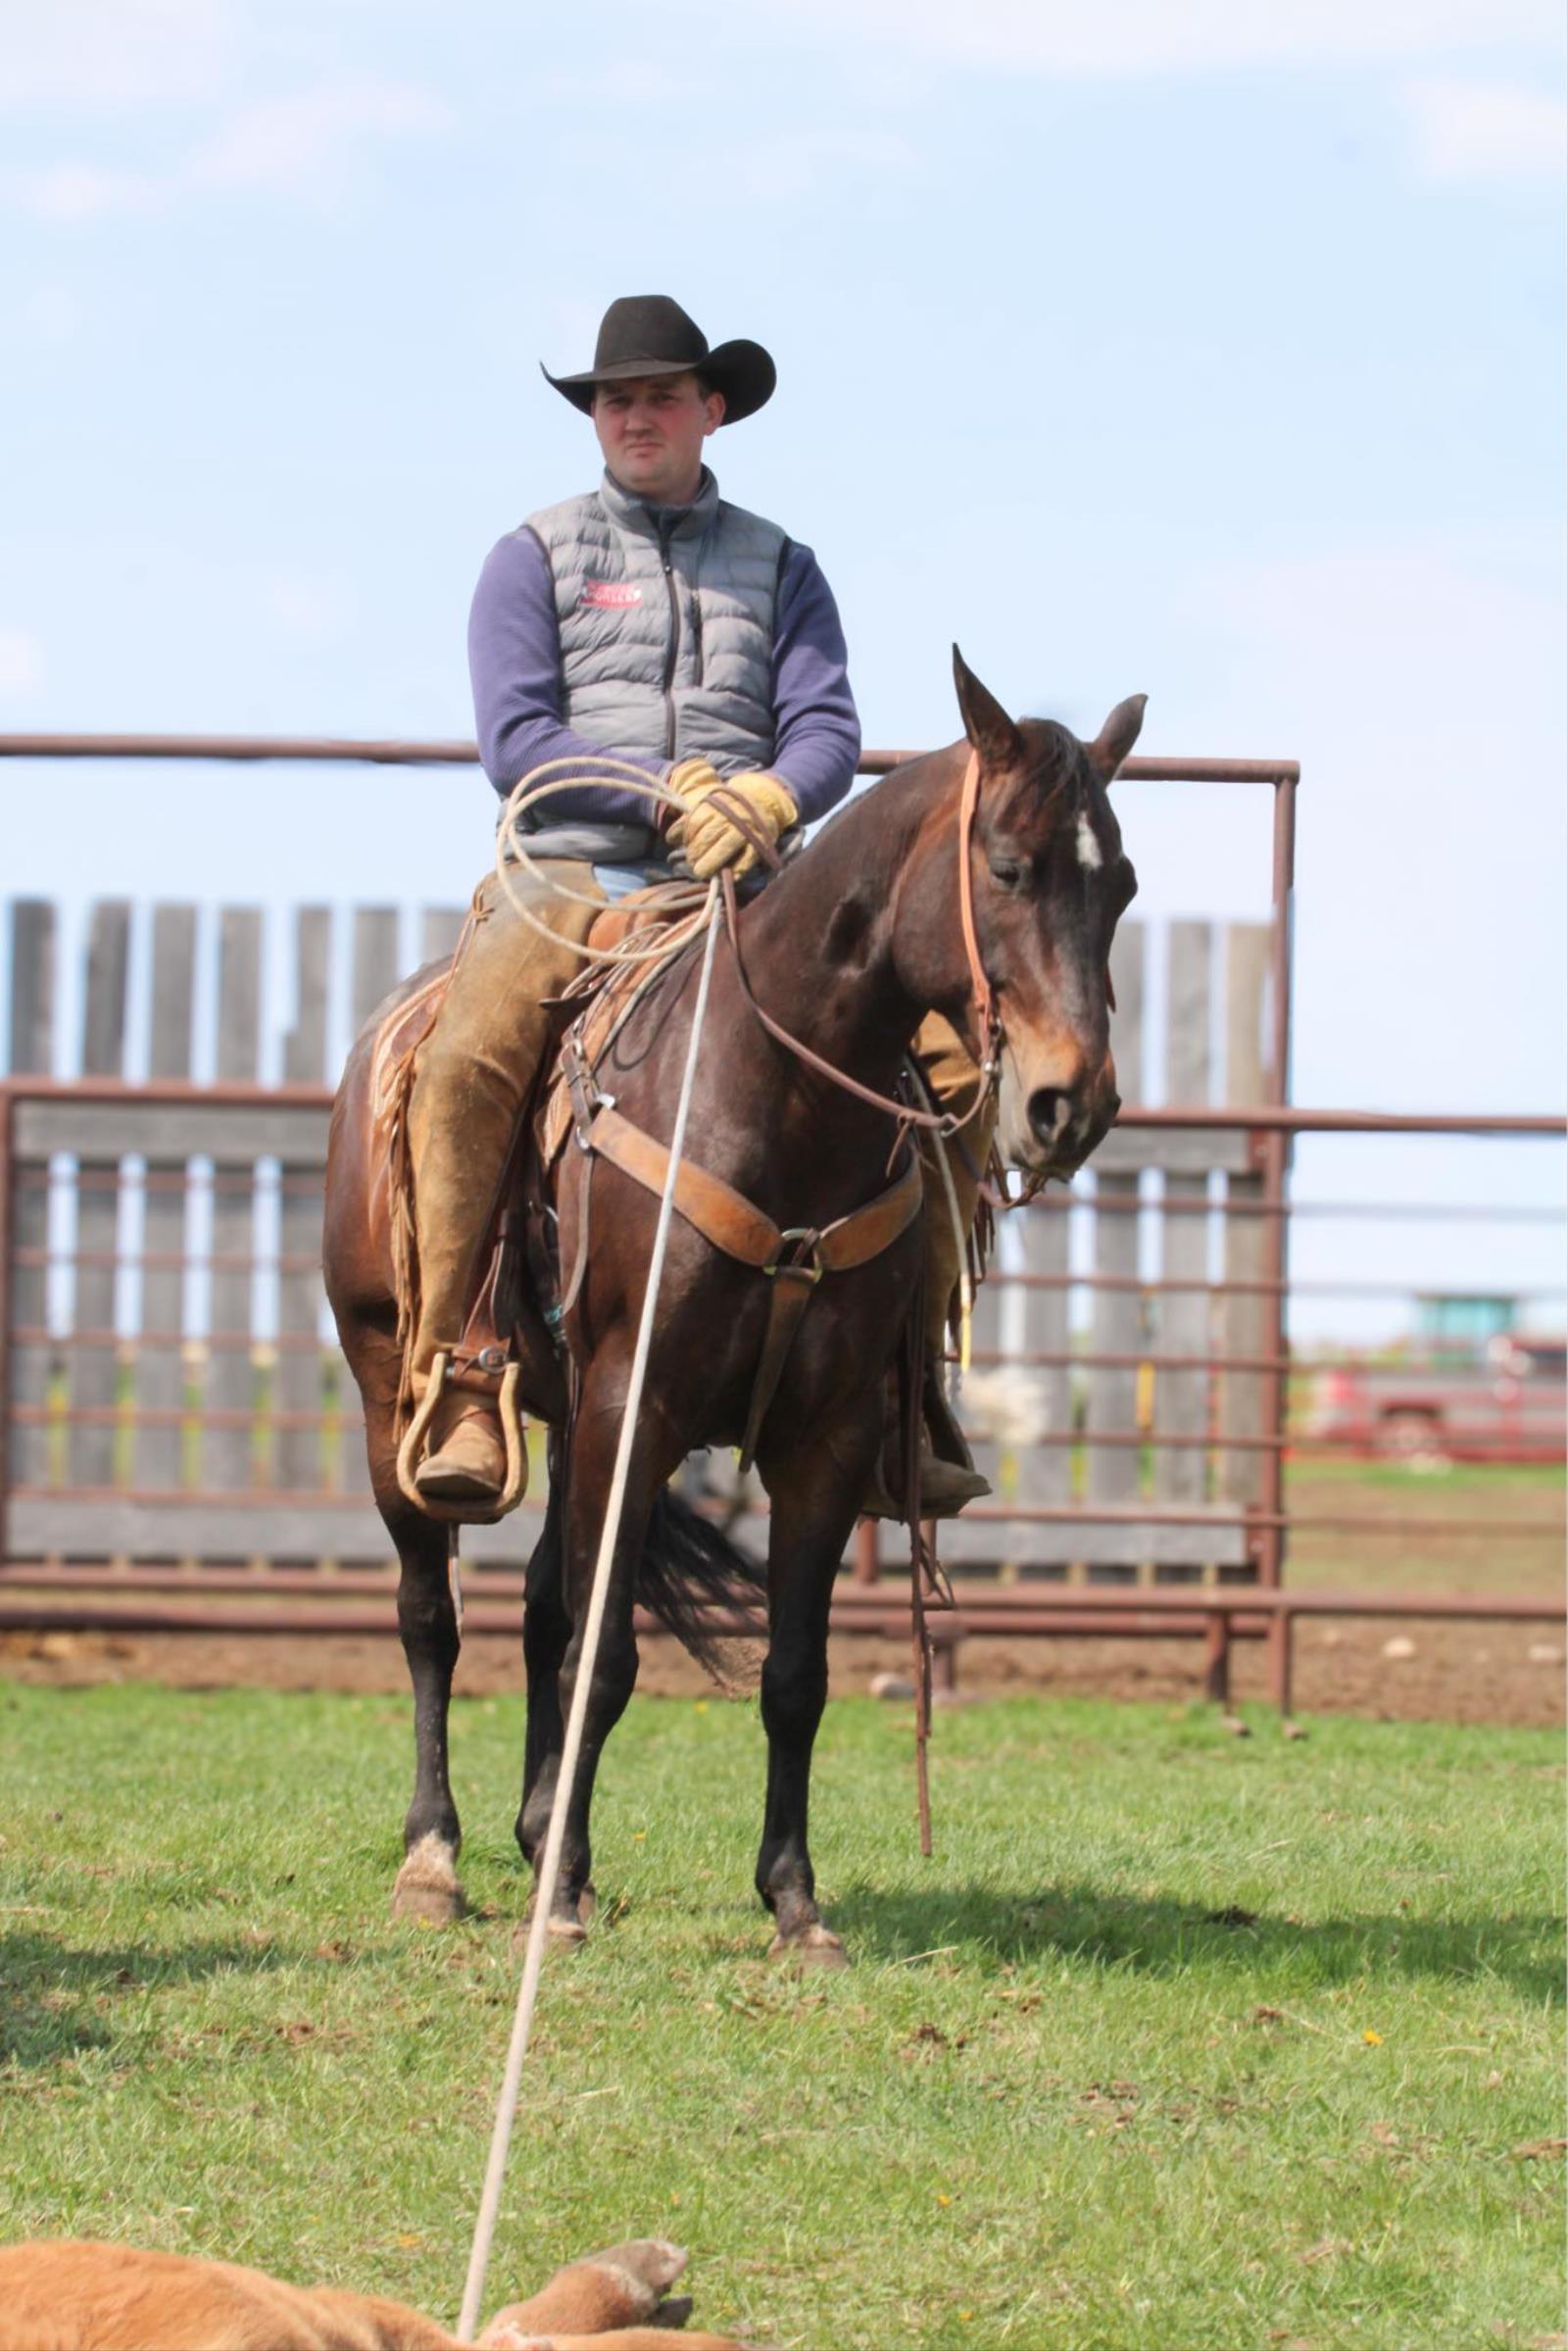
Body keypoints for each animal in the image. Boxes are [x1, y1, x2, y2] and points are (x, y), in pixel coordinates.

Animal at [323, 652, 1142, 1965]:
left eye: (1118, 883)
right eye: (1010, 866)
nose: (1074, 1103)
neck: (771, 1096)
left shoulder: (822, 1439)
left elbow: (790, 1672)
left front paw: (793, 1903)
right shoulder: (637, 1404)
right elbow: (605, 1654)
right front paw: (561, 1899)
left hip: (572, 1425)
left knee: (544, 1604)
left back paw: (537, 1832)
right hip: (388, 1382)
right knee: (428, 1614)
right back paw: (434, 1856)